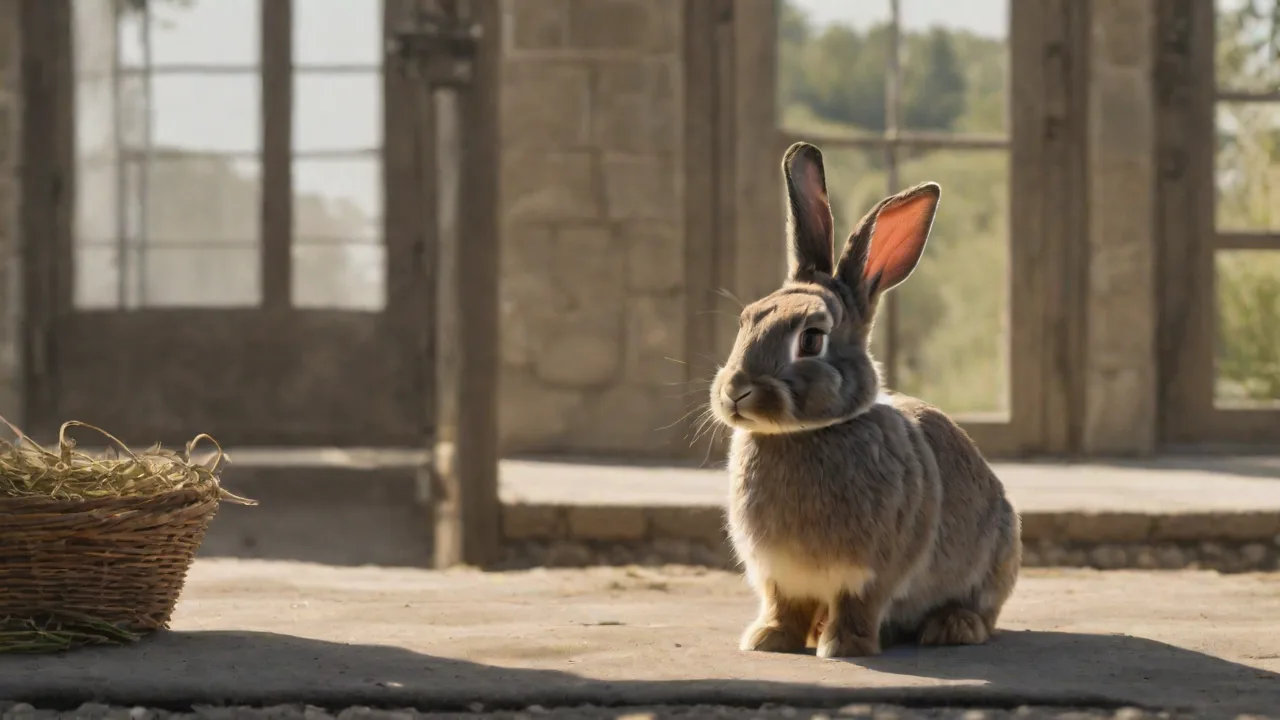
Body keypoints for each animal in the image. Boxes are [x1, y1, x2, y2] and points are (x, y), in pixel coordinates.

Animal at [708, 141, 1021, 659]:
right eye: (746, 320)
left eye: (811, 339)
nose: (736, 391)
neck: (805, 435)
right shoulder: (778, 577)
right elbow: (783, 606)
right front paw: (769, 640)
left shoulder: (873, 572)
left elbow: (859, 604)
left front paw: (842, 646)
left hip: (997, 550)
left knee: (981, 609)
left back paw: (952, 627)